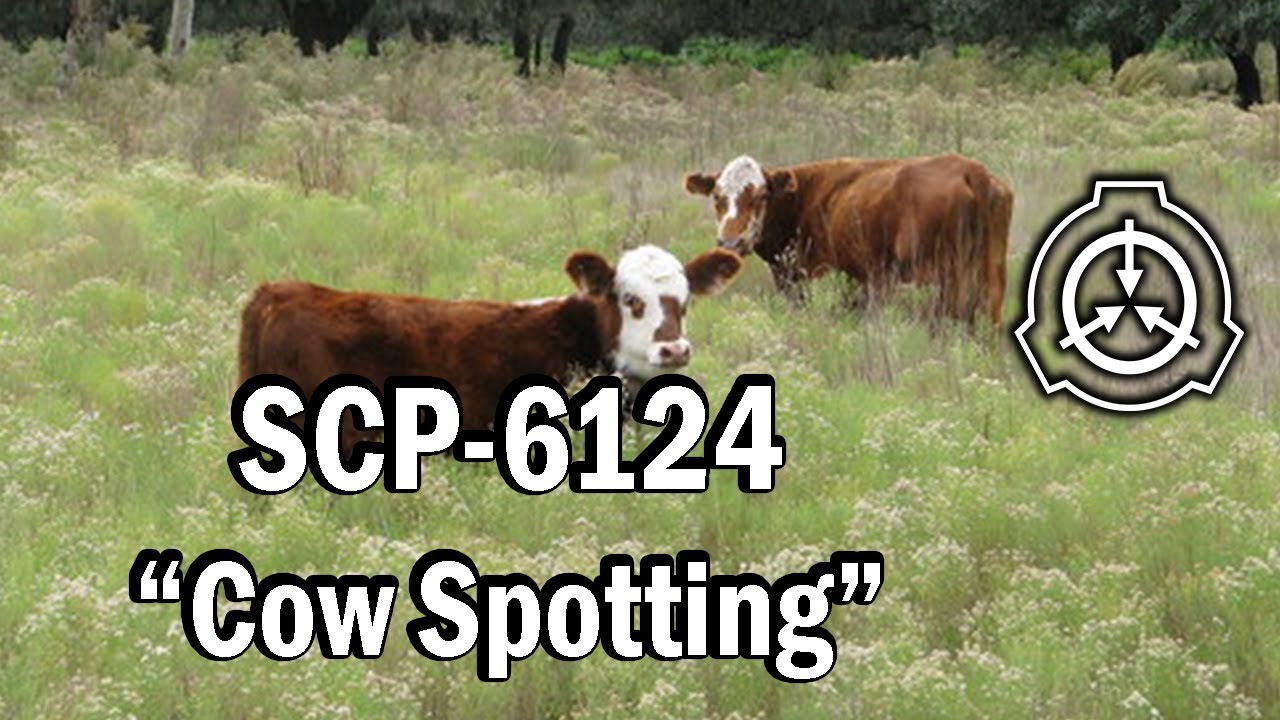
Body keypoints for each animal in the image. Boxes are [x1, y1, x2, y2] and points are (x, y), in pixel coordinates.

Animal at [683, 154, 1013, 326]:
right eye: (717, 197)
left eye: (761, 195)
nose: (731, 243)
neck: (802, 199)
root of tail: (971, 170)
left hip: (942, 278)